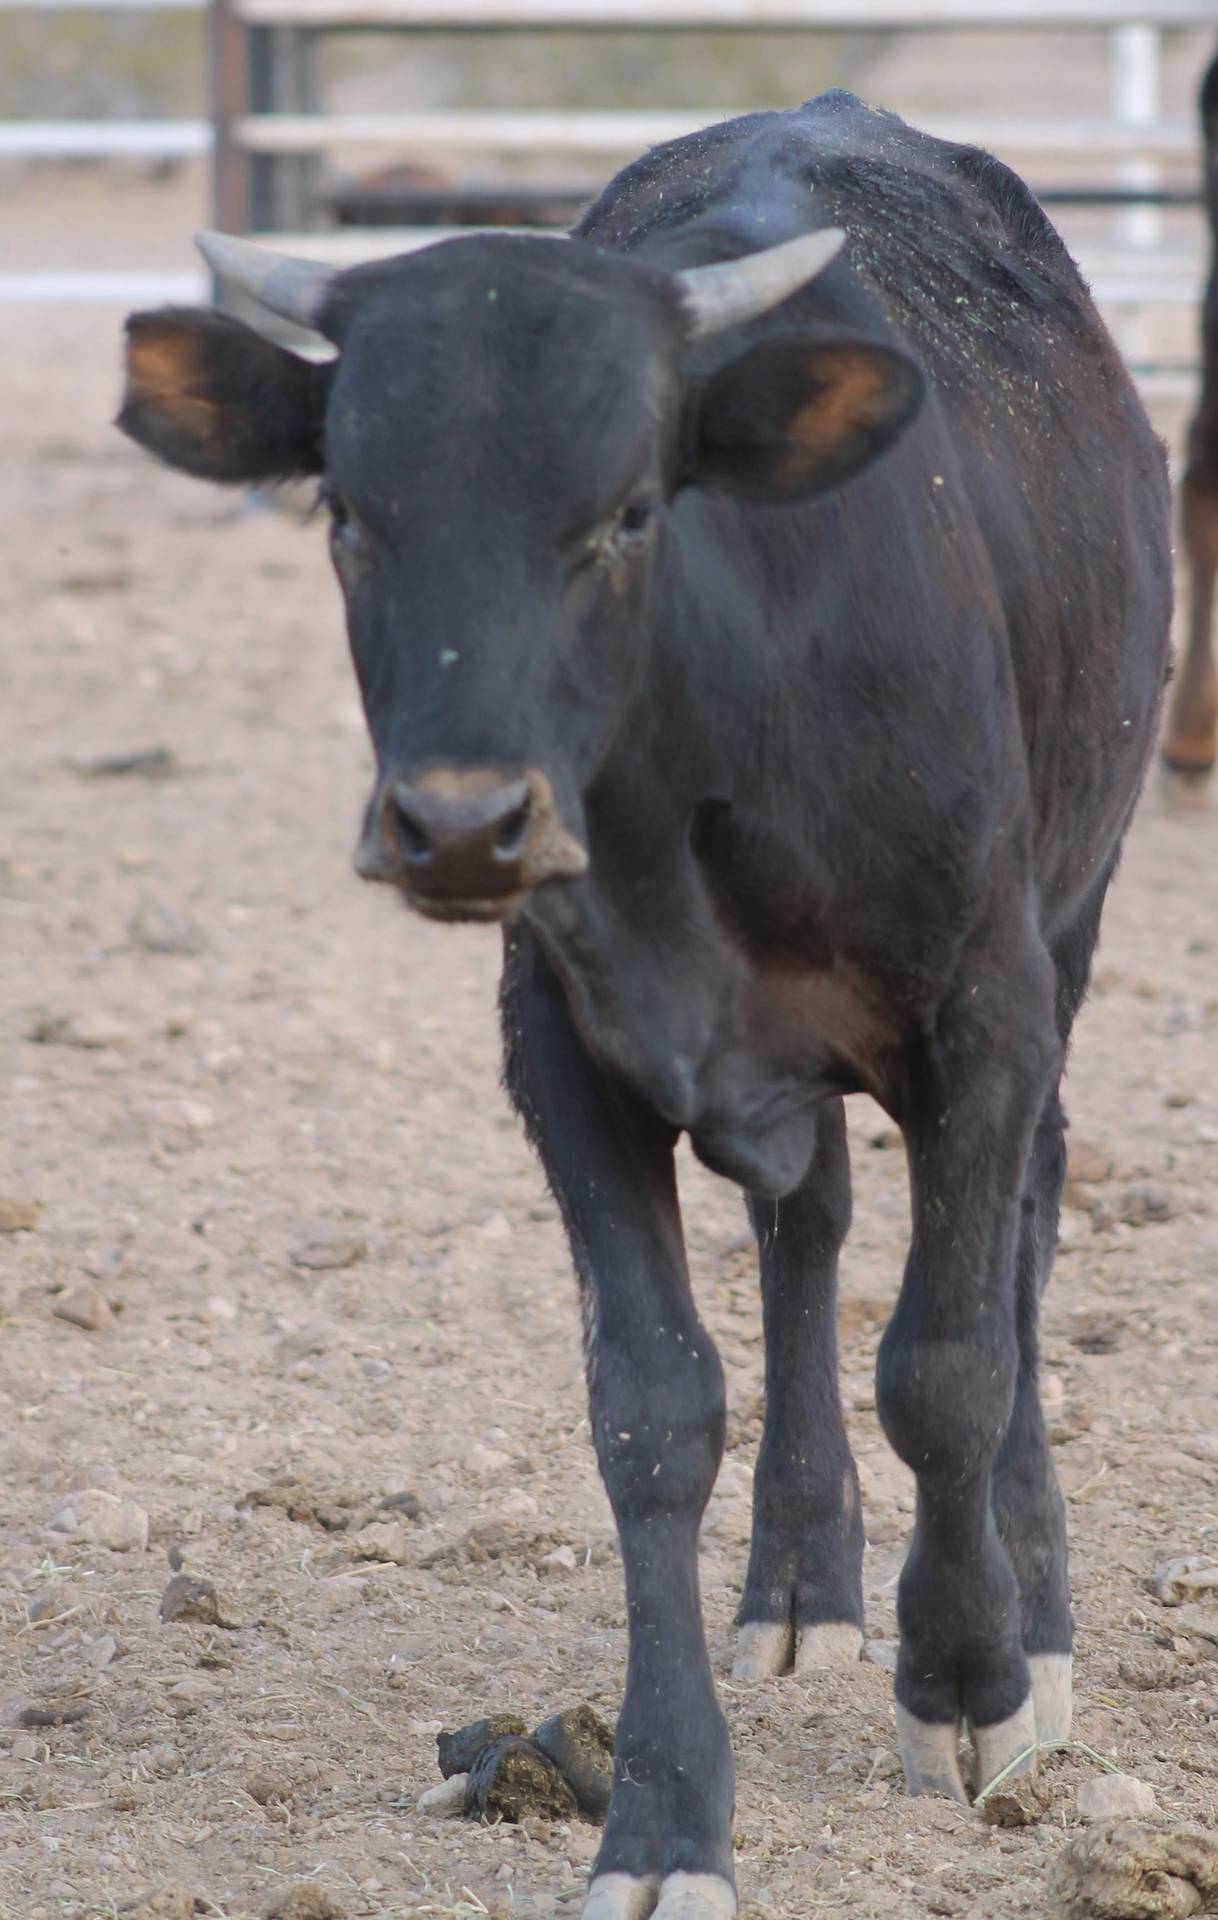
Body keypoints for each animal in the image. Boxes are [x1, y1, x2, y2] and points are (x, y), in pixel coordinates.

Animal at [117, 90, 1171, 1920]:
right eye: (348, 515)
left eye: (622, 514)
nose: (460, 823)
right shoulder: (565, 1054)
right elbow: (654, 1411)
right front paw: (668, 1813)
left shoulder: (984, 1013)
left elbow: (949, 1360)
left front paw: (965, 1679)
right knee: (807, 1229)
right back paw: (800, 1584)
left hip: (1074, 912)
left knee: (1022, 1243)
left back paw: (1025, 1616)